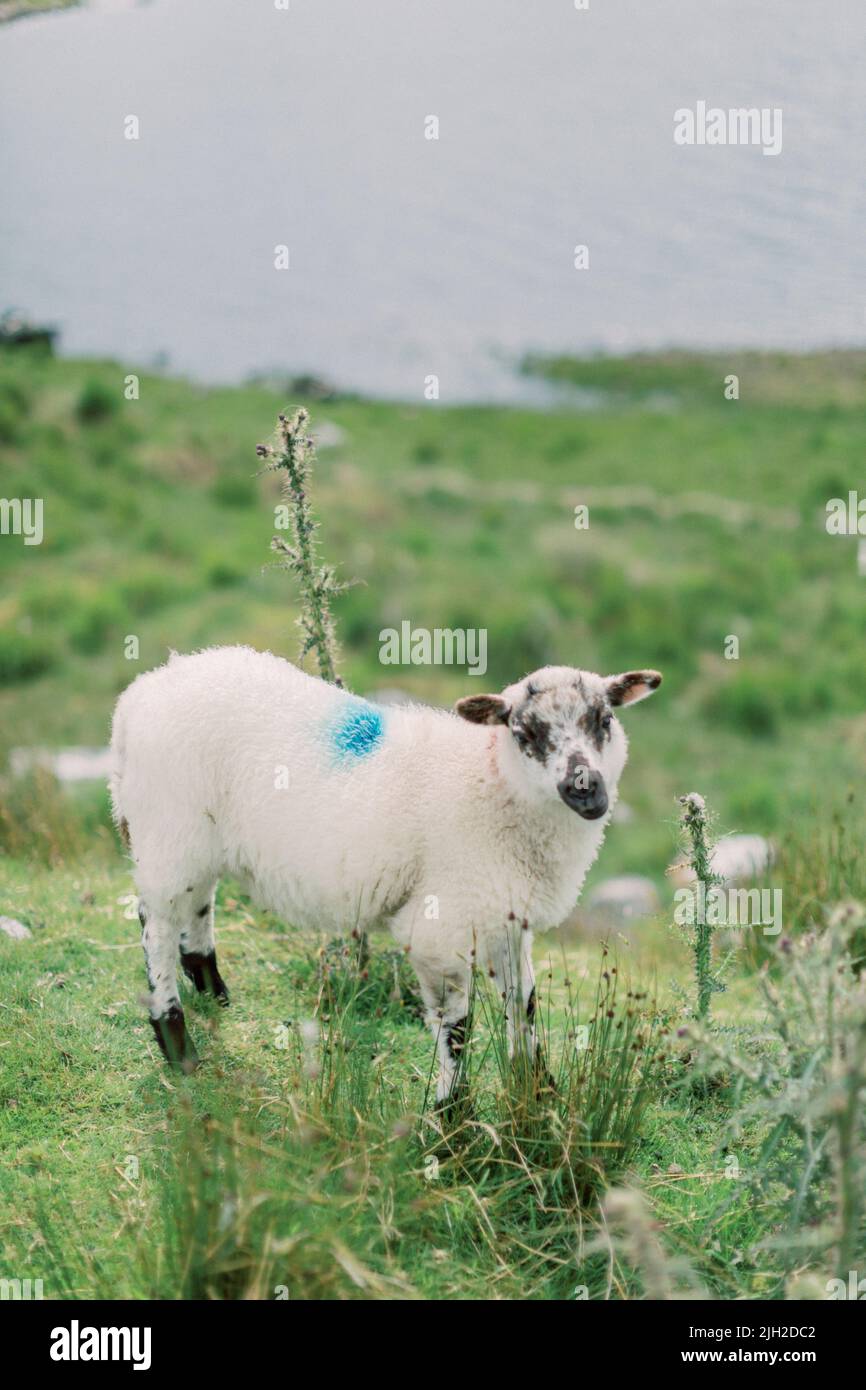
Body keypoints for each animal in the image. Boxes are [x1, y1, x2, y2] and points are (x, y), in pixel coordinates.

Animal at [109, 646, 662, 1097]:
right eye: (524, 733)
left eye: (604, 719)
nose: (586, 790)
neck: (493, 783)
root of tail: (141, 693)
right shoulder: (442, 927)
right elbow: (457, 1031)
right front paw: (451, 1116)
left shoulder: (506, 915)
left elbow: (523, 1005)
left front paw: (538, 1090)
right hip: (169, 828)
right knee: (156, 924)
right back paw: (175, 1039)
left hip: (197, 838)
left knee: (198, 903)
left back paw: (212, 988)